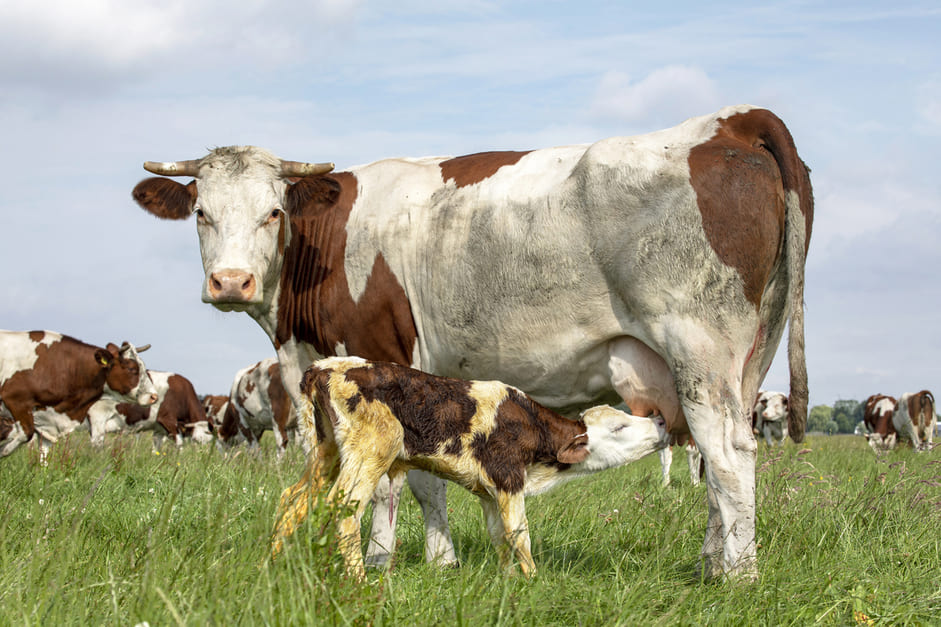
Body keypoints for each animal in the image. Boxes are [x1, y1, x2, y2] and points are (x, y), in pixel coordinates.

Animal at [0, 330, 157, 462]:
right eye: (132, 369)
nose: (154, 396)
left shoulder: (46, 422)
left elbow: (43, 457)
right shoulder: (17, 402)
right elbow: (25, 434)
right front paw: (3, 450)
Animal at [271, 356, 669, 580]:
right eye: (620, 427)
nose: (661, 420)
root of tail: (321, 367)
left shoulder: (489, 491)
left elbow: (499, 536)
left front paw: (509, 580)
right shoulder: (509, 478)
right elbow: (520, 535)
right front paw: (534, 580)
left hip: (326, 452)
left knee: (292, 498)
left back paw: (271, 561)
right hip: (371, 450)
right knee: (344, 507)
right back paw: (358, 582)